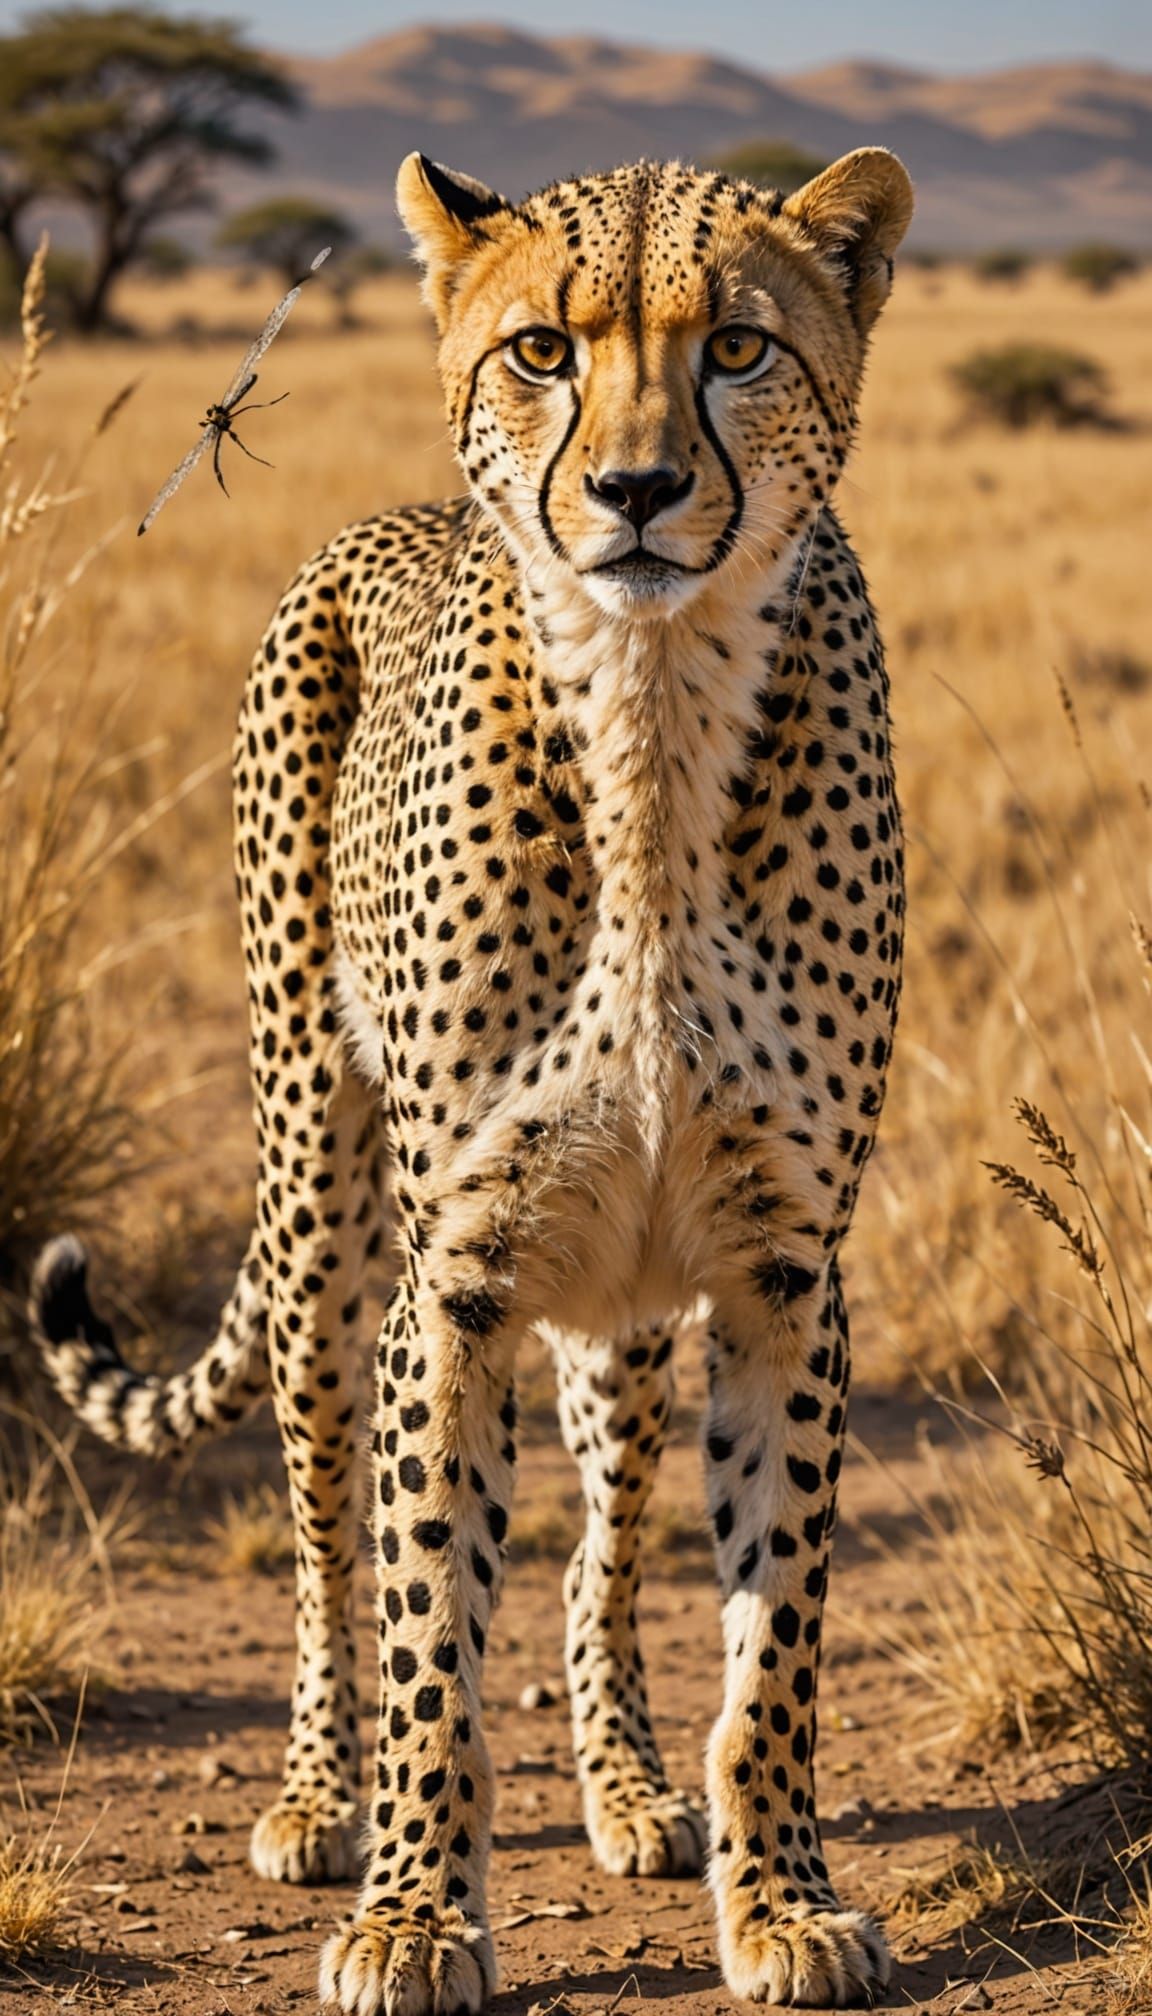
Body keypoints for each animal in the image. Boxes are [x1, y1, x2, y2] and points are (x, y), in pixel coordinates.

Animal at [30, 143, 914, 2011]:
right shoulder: (461, 1270)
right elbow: (428, 1606)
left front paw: (782, 1898)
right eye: (540, 351)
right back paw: (317, 1799)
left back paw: (630, 1784)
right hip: (319, 1213)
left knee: (603, 1547)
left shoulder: (781, 1260)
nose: (638, 492)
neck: (650, 705)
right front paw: (416, 1913)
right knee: (319, 1533)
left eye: (737, 347)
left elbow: (774, 1628)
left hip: (627, 1307)